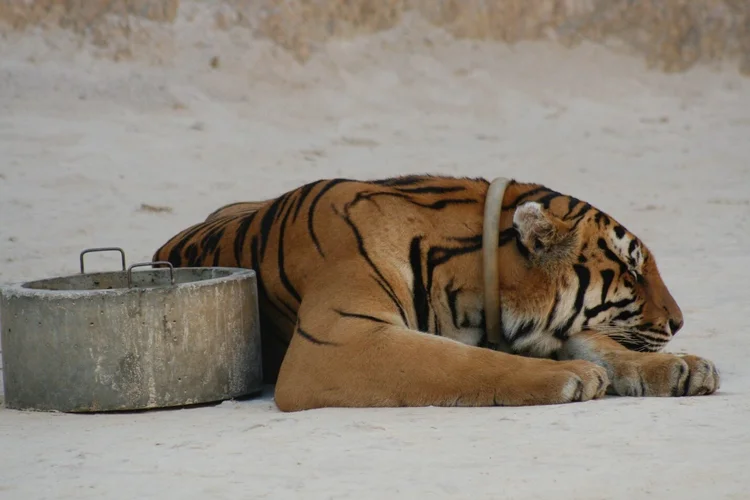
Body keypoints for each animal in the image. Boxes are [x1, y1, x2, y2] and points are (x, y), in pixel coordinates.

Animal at [153, 175, 720, 411]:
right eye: (631, 268)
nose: (679, 322)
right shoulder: (336, 341)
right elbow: (463, 361)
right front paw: (573, 377)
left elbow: (600, 342)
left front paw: (680, 367)